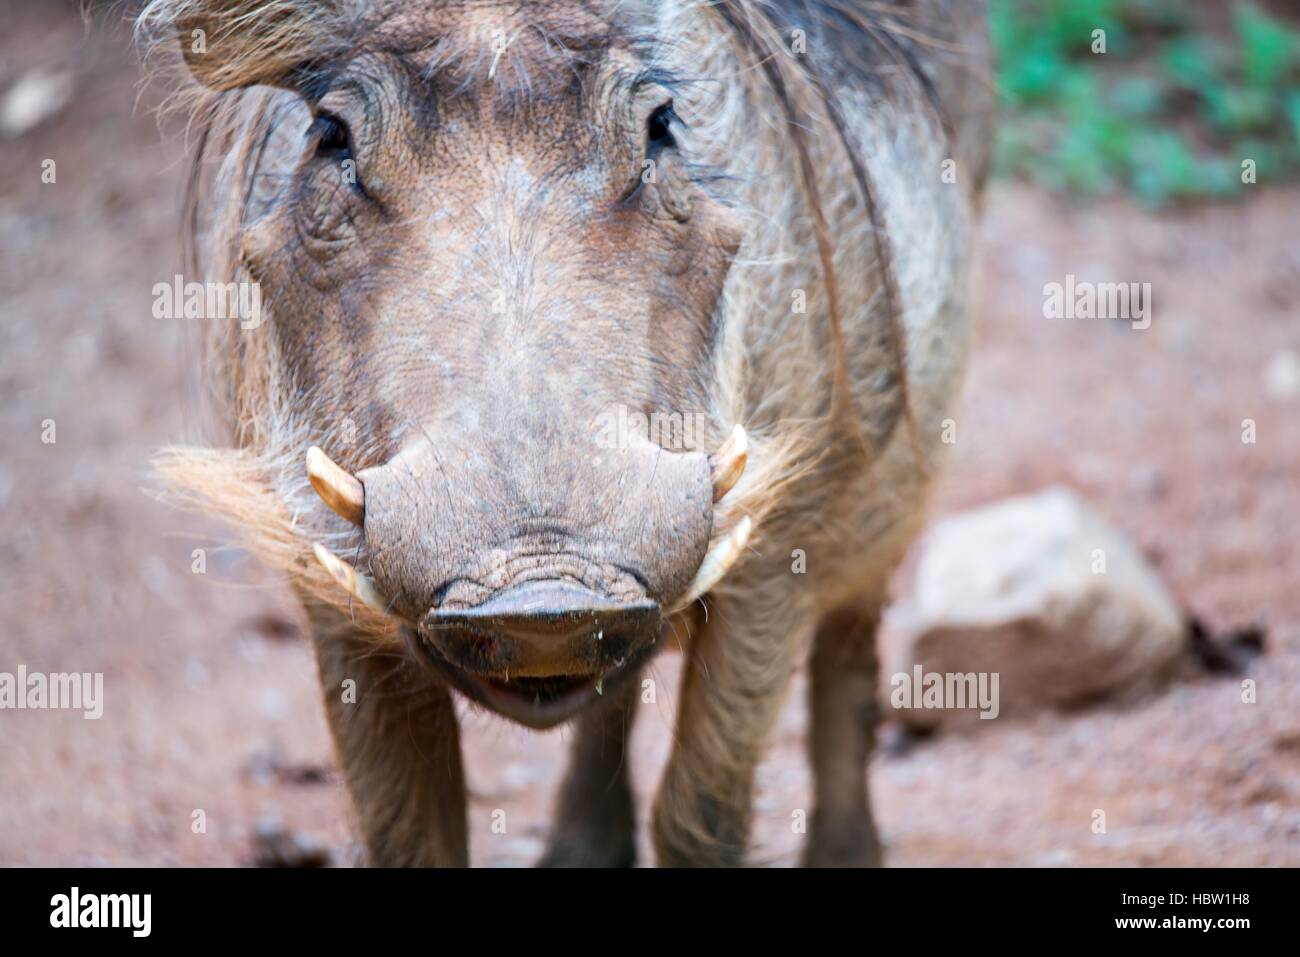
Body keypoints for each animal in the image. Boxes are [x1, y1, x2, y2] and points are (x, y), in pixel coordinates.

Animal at [140, 0, 994, 866]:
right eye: (330, 136)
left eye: (660, 127)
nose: (545, 594)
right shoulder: (324, 589)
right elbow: (411, 832)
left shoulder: (773, 559)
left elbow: (701, 814)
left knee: (847, 657)